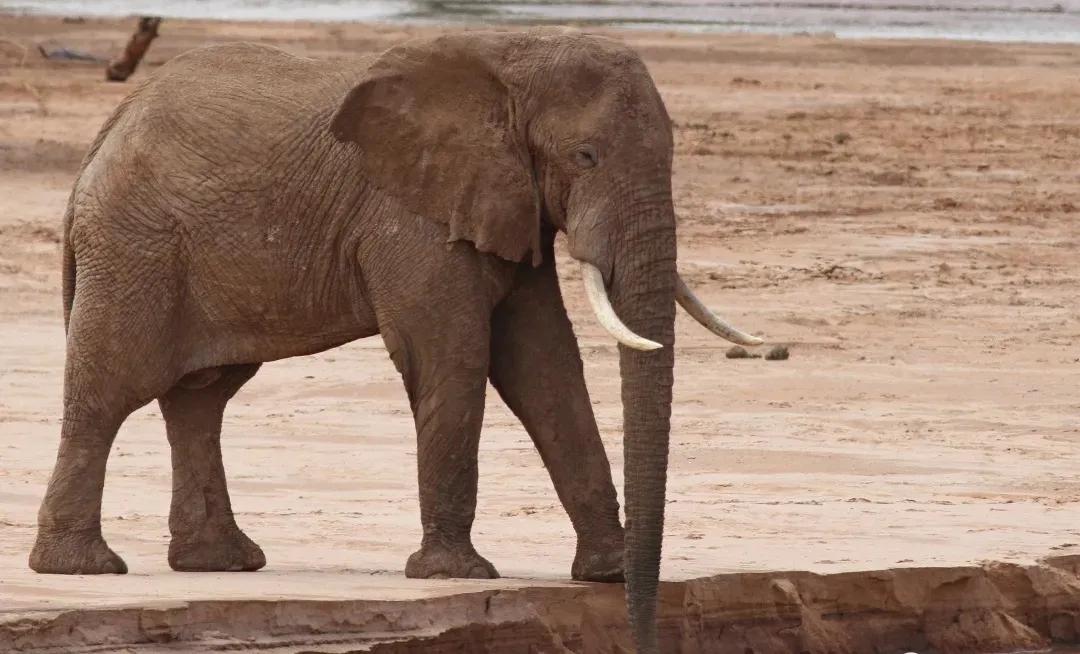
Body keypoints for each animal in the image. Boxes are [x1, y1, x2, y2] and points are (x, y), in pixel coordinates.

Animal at [28, 30, 761, 652]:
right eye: (585, 157)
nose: (643, 626)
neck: (514, 60)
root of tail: (106, 134)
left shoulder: (505, 199)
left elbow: (546, 367)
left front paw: (605, 572)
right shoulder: (413, 215)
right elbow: (454, 355)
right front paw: (457, 574)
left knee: (201, 399)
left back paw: (221, 563)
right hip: (135, 249)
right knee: (110, 392)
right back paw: (84, 568)